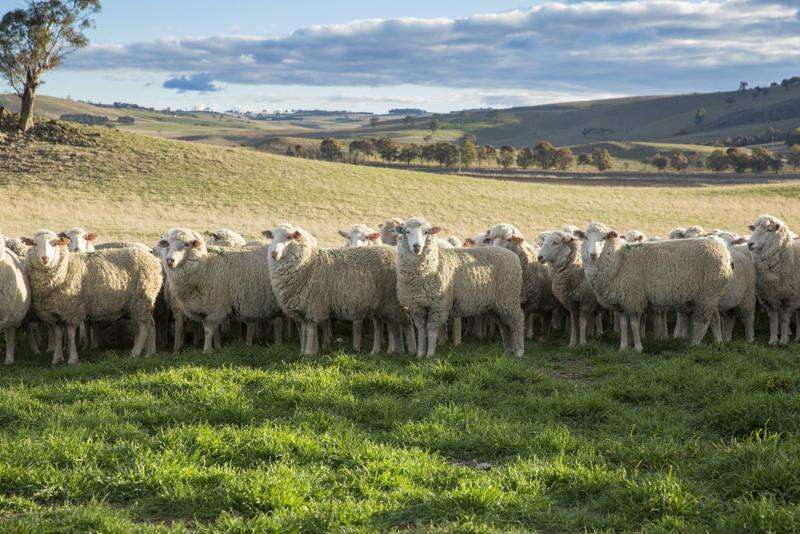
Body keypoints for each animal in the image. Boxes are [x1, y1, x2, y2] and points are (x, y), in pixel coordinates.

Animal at [23, 230, 163, 364]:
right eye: (35, 244)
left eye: (55, 243)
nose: (45, 258)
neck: (66, 268)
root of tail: (155, 261)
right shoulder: (54, 313)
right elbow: (58, 335)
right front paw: (56, 358)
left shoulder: (72, 310)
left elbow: (71, 334)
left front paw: (72, 359)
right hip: (138, 304)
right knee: (150, 323)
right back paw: (149, 352)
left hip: (141, 300)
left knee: (144, 327)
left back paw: (136, 352)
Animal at [265, 223, 414, 356]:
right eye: (272, 237)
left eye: (289, 237)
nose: (273, 253)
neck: (309, 263)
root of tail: (393, 251)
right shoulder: (302, 308)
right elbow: (305, 330)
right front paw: (305, 350)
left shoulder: (314, 305)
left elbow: (311, 329)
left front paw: (308, 353)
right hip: (382, 304)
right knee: (388, 326)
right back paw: (382, 351)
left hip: (394, 301)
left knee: (406, 323)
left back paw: (410, 351)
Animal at [395, 217, 524, 358]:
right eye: (407, 232)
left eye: (426, 232)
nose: (417, 247)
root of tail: (514, 256)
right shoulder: (416, 307)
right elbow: (421, 331)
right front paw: (420, 354)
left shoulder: (438, 305)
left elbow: (431, 330)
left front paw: (429, 355)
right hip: (497, 305)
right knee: (504, 325)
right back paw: (508, 351)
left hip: (508, 298)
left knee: (517, 320)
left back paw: (519, 351)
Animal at [579, 222, 732, 352]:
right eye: (586, 237)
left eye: (604, 238)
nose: (593, 254)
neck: (619, 259)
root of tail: (719, 245)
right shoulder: (621, 303)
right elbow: (623, 326)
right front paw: (623, 348)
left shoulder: (633, 299)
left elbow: (634, 324)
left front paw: (638, 348)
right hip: (710, 294)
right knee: (715, 317)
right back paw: (718, 342)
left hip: (707, 293)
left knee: (704, 321)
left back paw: (694, 344)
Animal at [747, 215, 800, 345]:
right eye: (754, 228)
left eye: (769, 230)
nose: (750, 243)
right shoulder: (767, 298)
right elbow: (774, 320)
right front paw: (773, 339)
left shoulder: (789, 297)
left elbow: (784, 319)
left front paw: (783, 341)